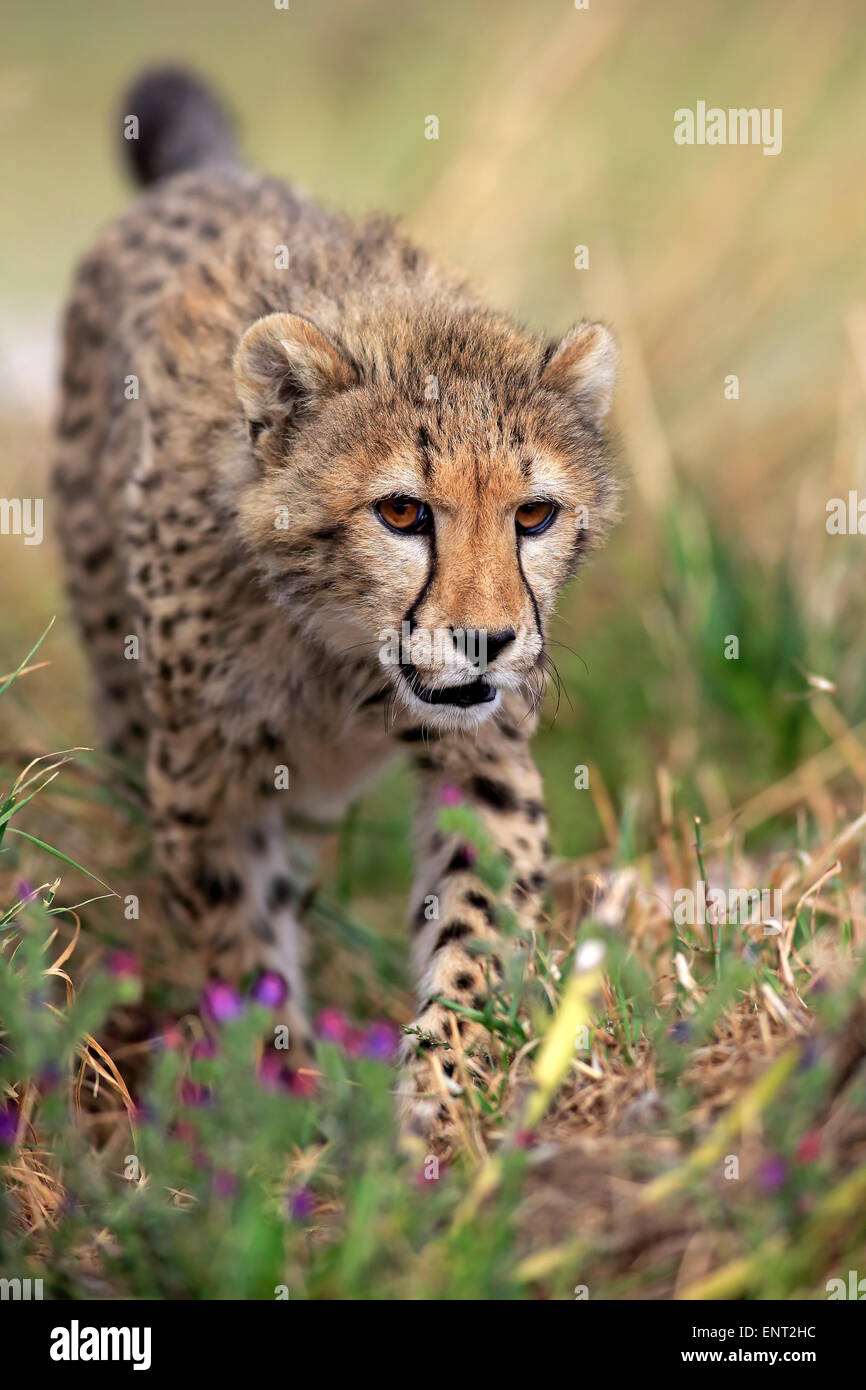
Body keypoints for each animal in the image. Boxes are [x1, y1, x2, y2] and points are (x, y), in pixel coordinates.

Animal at [52, 67, 619, 1141]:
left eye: (533, 514)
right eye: (401, 512)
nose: (486, 640)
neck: (341, 654)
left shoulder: (484, 758)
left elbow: (476, 931)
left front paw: (438, 1108)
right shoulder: (204, 779)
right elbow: (241, 951)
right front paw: (282, 1109)